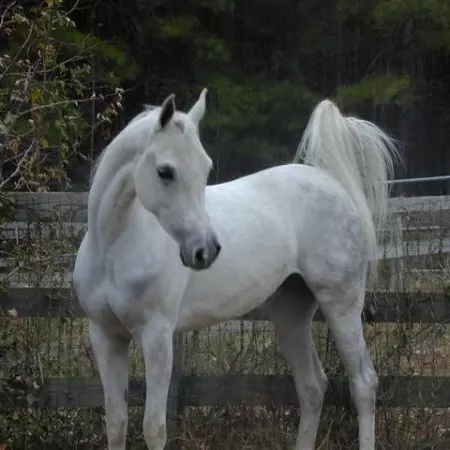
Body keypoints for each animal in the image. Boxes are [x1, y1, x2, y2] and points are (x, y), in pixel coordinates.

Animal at [73, 89, 398, 450]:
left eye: (206, 168)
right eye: (165, 171)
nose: (206, 250)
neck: (112, 249)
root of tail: (332, 183)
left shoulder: (156, 337)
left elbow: (153, 429)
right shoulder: (105, 337)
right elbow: (116, 423)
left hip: (341, 305)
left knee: (363, 384)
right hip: (291, 314)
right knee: (312, 387)